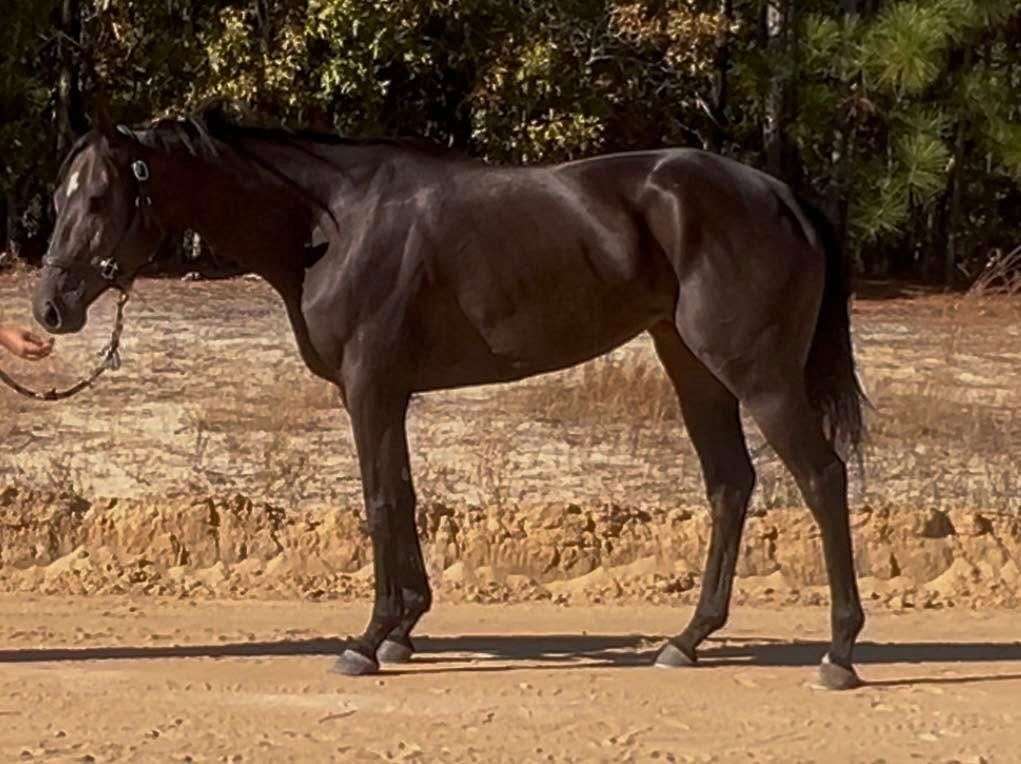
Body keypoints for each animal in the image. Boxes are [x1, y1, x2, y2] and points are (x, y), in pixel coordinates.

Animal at [32, 107, 867, 690]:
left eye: (99, 197)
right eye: (59, 193)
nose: (49, 309)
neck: (331, 224)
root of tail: (776, 192)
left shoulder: (370, 387)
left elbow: (378, 500)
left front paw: (366, 641)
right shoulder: (390, 392)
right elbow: (402, 494)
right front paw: (403, 628)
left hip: (756, 373)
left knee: (821, 478)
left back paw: (837, 652)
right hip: (691, 366)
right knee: (730, 484)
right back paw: (685, 641)